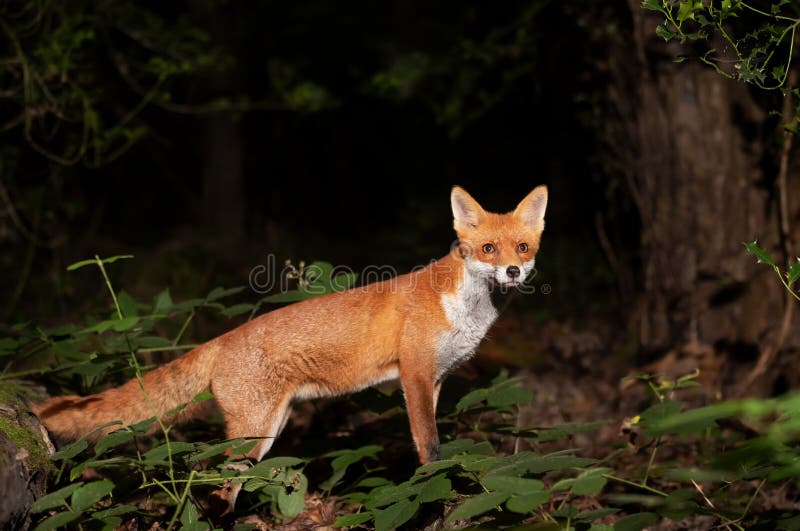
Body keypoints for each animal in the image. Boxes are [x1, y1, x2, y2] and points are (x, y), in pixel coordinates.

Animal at [33, 185, 547, 509]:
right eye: (488, 249)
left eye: (522, 248)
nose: (513, 272)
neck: (466, 310)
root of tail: (223, 338)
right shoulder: (415, 373)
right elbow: (430, 447)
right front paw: (439, 489)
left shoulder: (435, 380)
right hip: (251, 437)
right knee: (214, 486)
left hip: (268, 431)